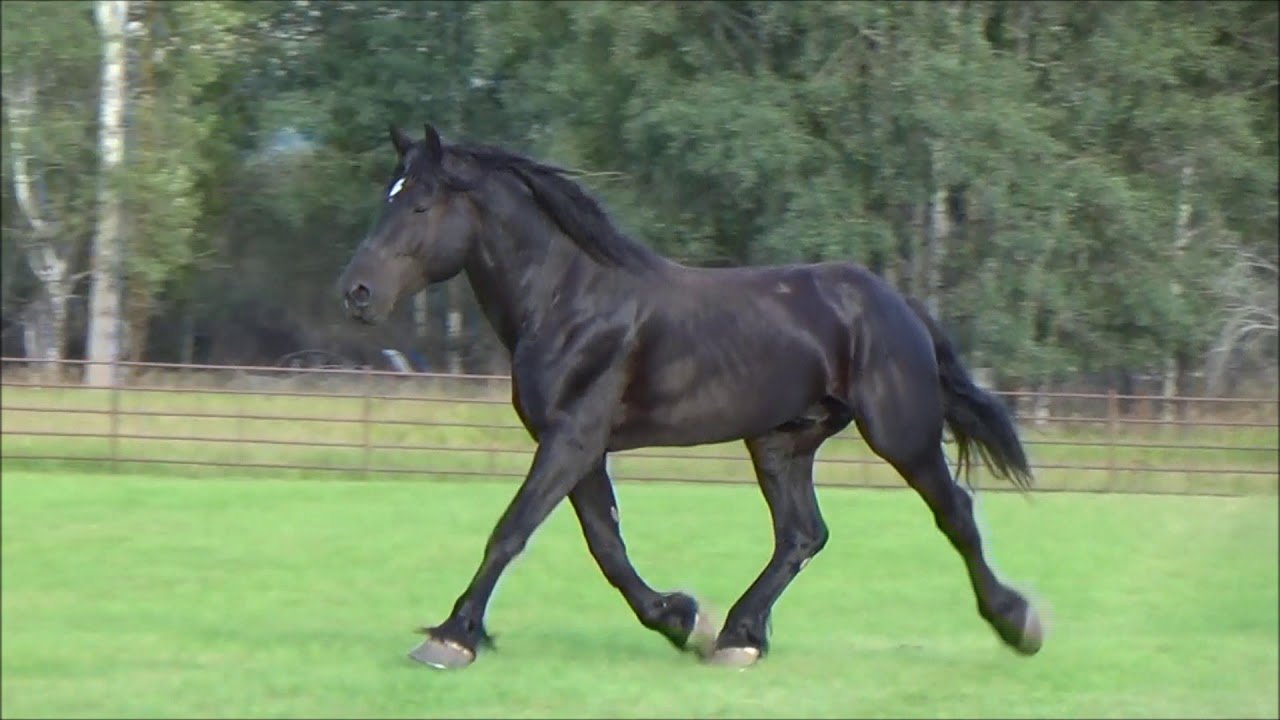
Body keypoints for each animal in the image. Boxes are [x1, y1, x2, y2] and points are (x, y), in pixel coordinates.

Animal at [336, 124, 1044, 670]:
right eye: (388, 199)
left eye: (421, 204)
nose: (357, 293)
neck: (569, 303)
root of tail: (898, 305)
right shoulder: (580, 446)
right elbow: (607, 546)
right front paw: (681, 619)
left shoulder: (573, 438)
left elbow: (512, 530)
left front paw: (451, 638)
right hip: (782, 440)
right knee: (802, 535)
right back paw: (737, 638)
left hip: (901, 432)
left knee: (953, 512)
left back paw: (1018, 624)